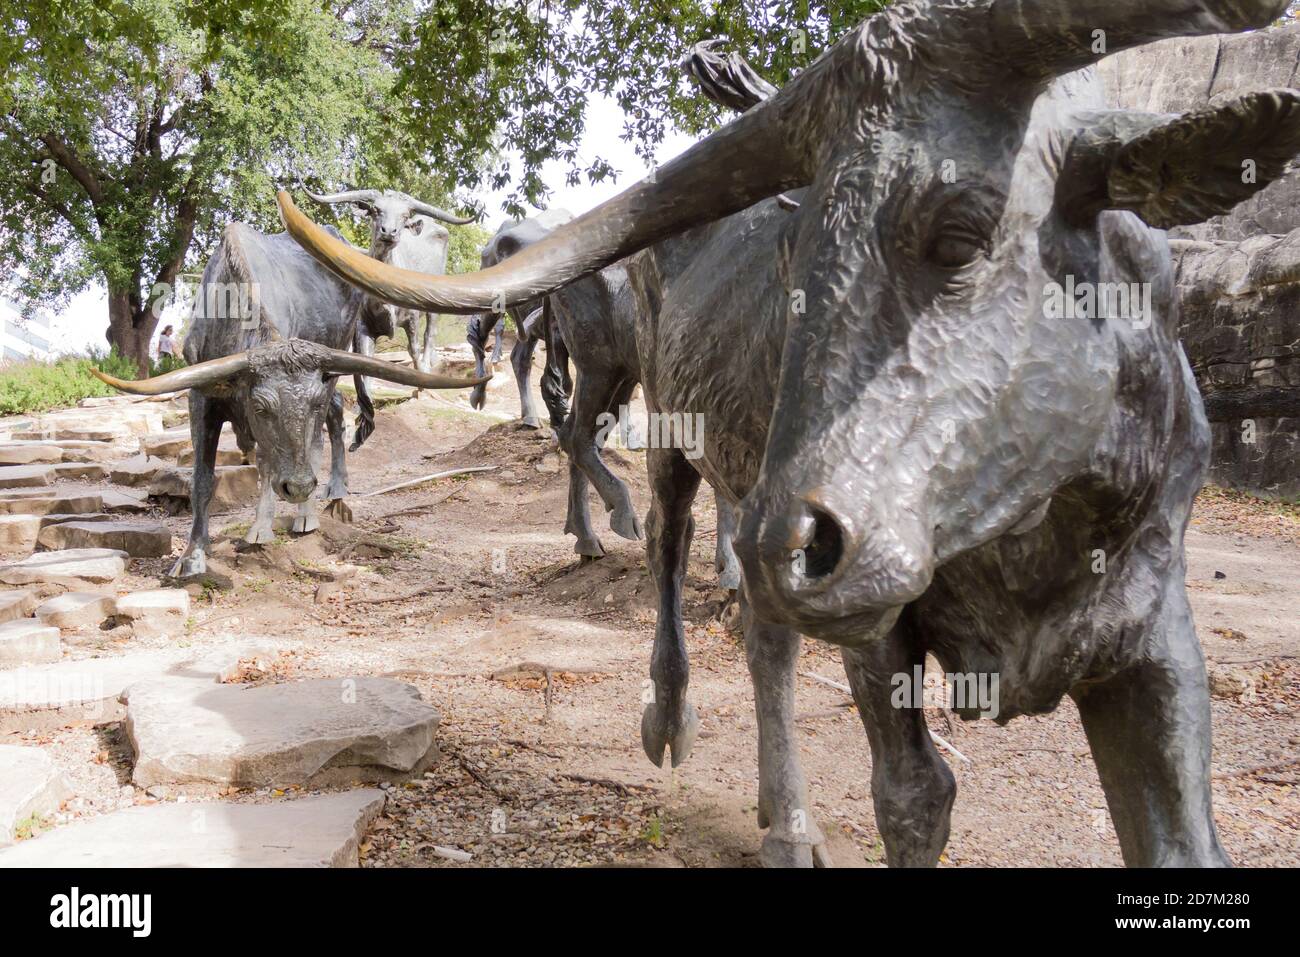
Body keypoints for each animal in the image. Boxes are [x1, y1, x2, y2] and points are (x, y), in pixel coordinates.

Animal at [92, 223, 487, 578]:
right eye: (262, 407)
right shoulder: (200, 398)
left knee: (327, 429)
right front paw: (192, 556)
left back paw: (322, 504)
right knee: (335, 412)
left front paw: (271, 523)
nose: (297, 487)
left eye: (308, 405)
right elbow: (202, 479)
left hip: (335, 364)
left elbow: (278, 459)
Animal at [278, 0, 1300, 867]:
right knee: (662, 532)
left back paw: (784, 812)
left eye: (964, 231)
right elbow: (914, 795)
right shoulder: (877, 630)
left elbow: (1183, 839)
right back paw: (667, 690)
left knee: (762, 635)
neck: (1031, 525)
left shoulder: (1153, 636)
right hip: (676, 434)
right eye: (797, 250)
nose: (802, 540)